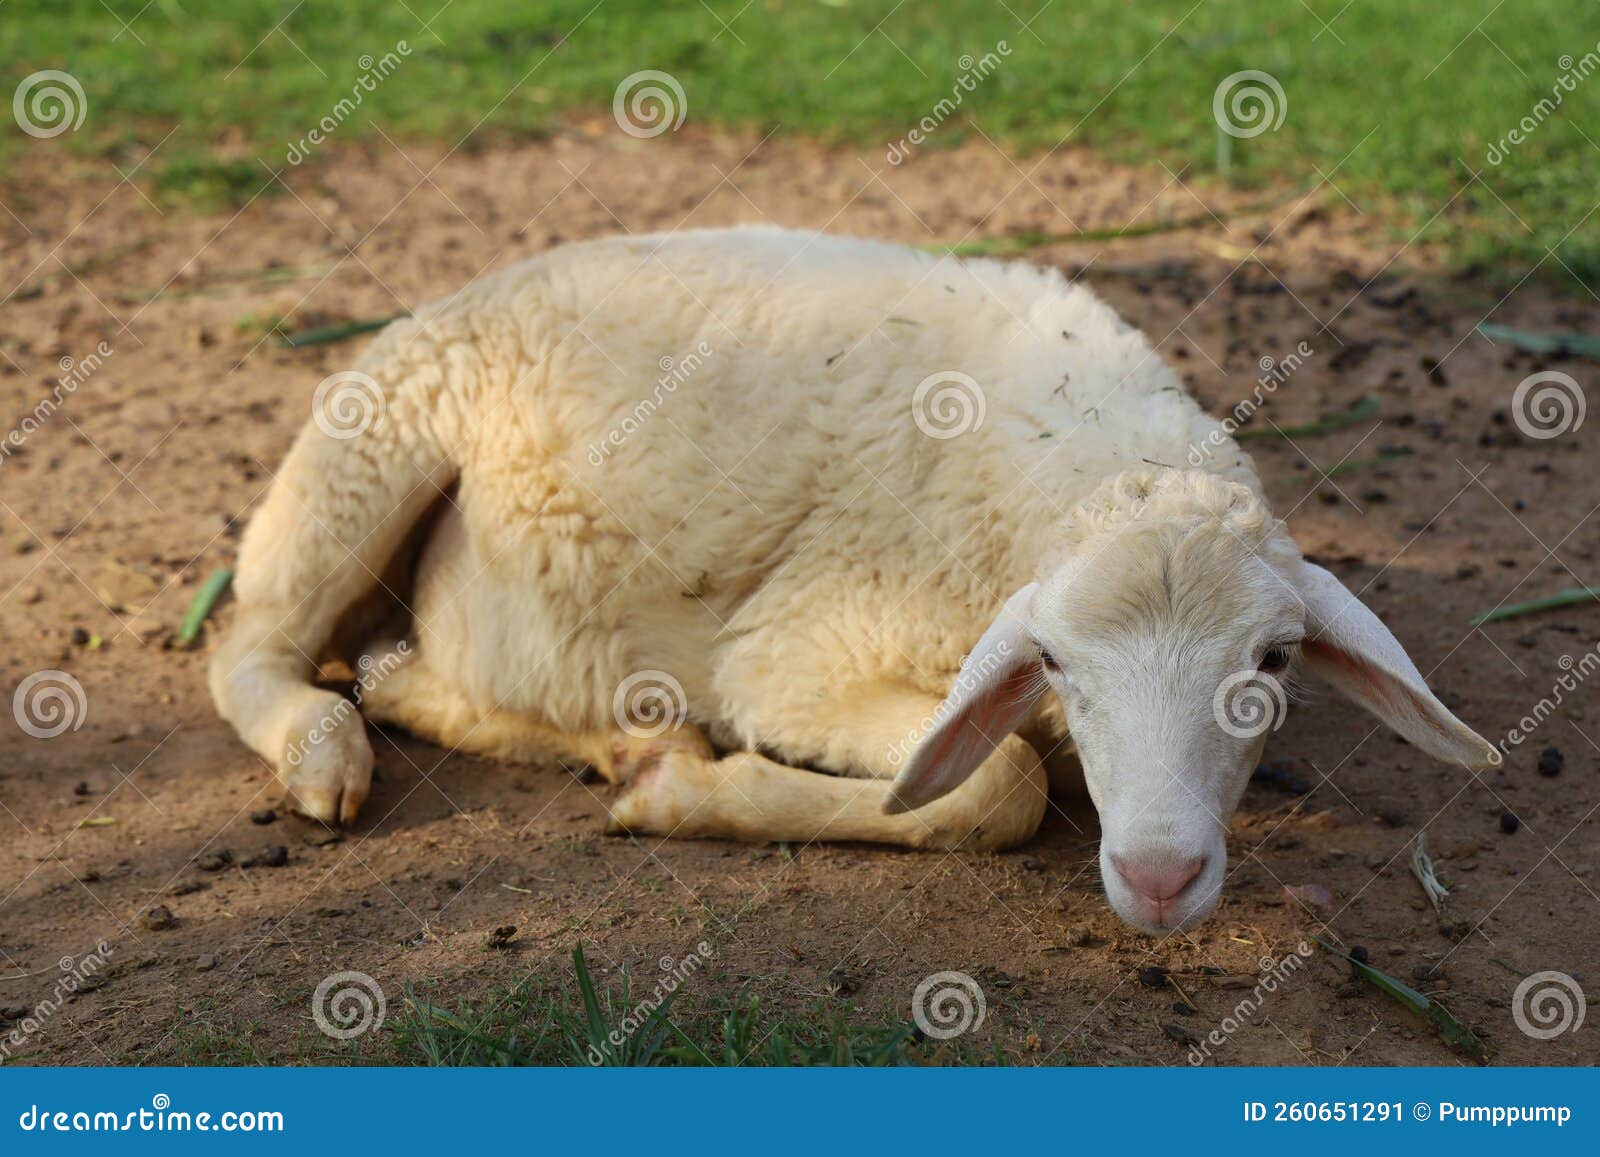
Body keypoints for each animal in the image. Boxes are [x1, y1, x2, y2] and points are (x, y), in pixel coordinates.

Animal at [211, 226, 1498, 934]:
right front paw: (698, 798)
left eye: (1272, 660)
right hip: (369, 442)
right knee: (252, 645)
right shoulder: (798, 656)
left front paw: (666, 777)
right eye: (1055, 663)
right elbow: (999, 783)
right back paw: (328, 752)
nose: (1160, 874)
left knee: (415, 667)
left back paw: (576, 729)